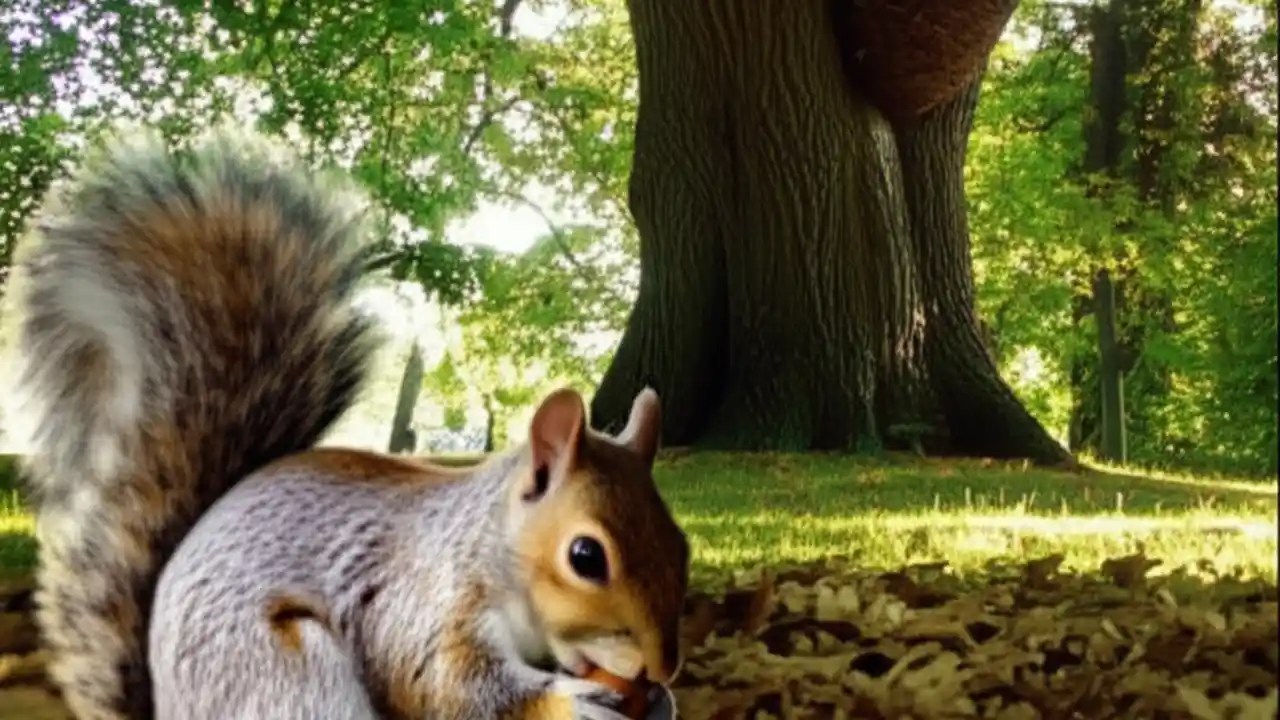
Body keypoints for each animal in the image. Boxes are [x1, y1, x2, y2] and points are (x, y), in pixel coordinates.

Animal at [3, 128, 690, 720]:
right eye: (585, 556)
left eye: (681, 543)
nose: (661, 668)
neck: (493, 551)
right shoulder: (421, 603)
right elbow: (449, 686)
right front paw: (571, 700)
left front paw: (656, 702)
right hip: (287, 676)